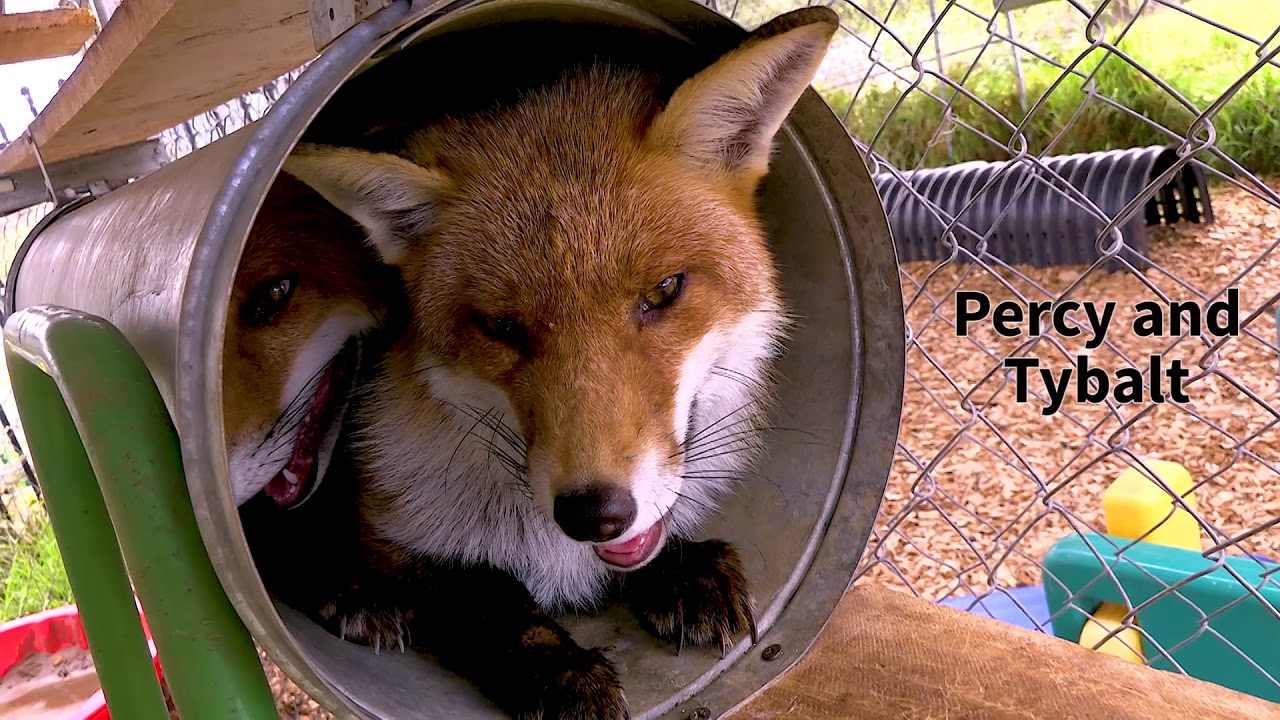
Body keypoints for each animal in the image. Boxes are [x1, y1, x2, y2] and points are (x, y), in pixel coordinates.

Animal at [243, 7, 840, 718]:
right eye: (503, 328)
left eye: (665, 290)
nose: (594, 514)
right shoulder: (387, 521)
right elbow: (489, 600)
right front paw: (559, 672)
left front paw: (685, 568)